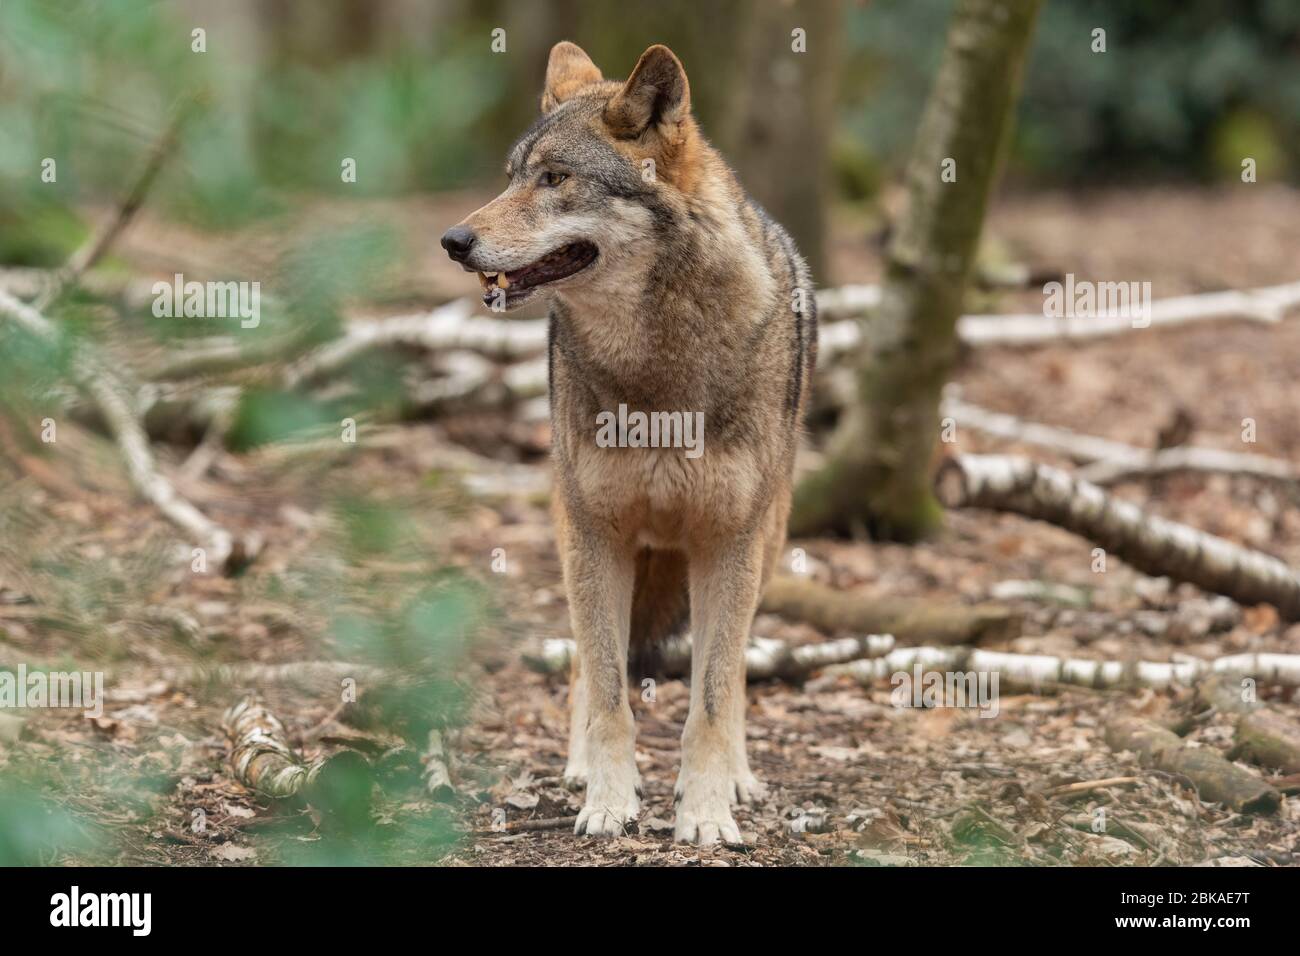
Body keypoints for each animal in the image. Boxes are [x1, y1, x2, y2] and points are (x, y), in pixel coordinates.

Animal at [441, 41, 816, 845]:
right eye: (512, 176)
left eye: (555, 179)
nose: (453, 241)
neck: (656, 372)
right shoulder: (597, 532)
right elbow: (610, 688)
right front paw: (609, 801)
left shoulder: (729, 541)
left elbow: (713, 696)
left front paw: (706, 810)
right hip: (572, 528)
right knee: (588, 661)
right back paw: (581, 767)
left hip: (768, 540)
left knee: (735, 667)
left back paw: (740, 777)